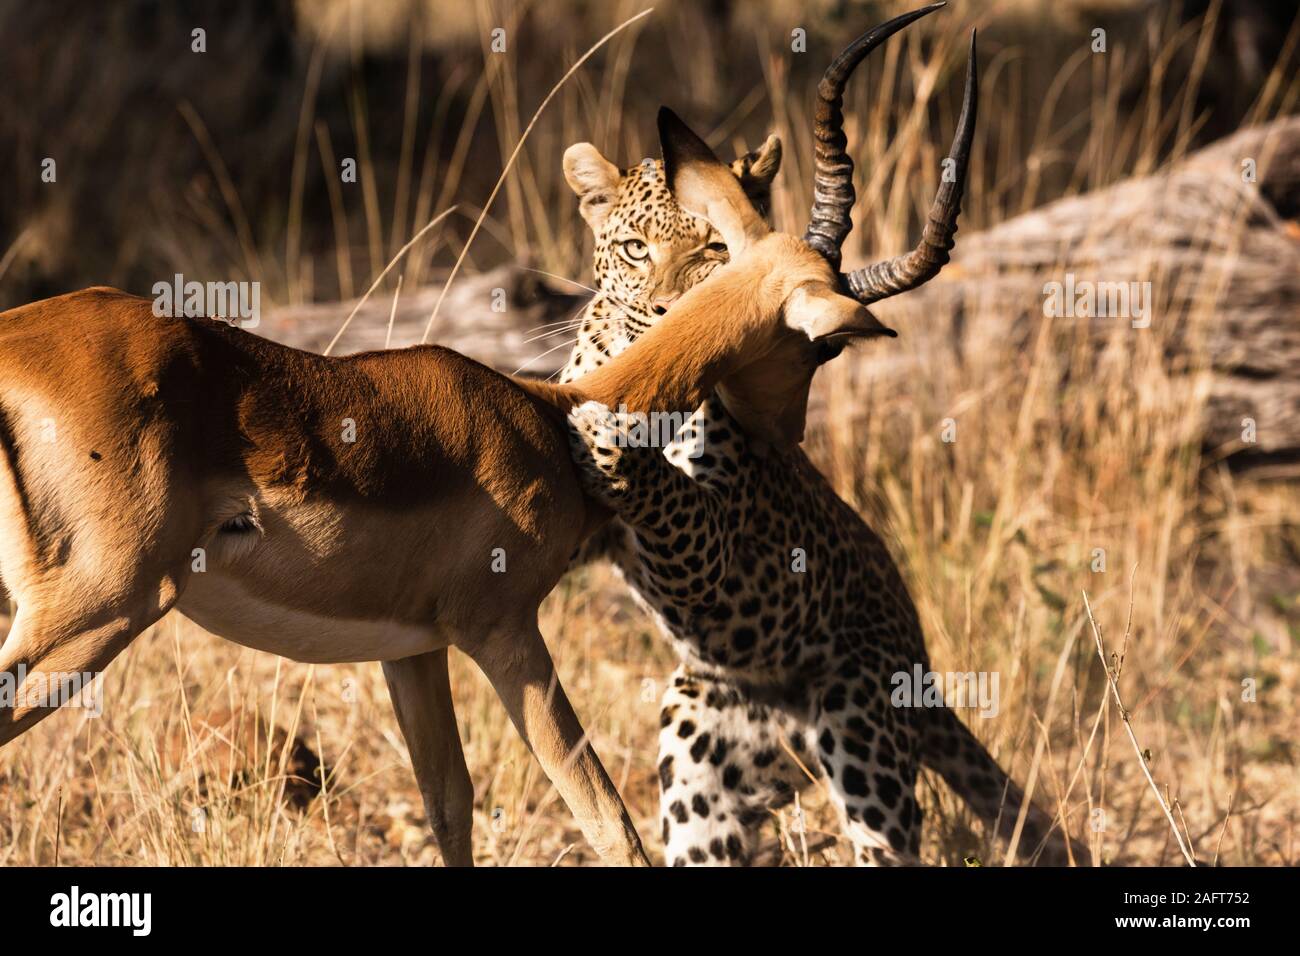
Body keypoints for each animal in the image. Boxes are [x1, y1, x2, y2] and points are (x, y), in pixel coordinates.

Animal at [0, 111, 886, 866]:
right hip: (97, 612)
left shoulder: (413, 650)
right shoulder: (503, 632)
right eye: (822, 344)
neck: (549, 413)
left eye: (709, 246)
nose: (786, 433)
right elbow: (606, 813)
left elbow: (449, 805)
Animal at [557, 135, 1085, 866]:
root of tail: (920, 661)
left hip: (865, 740)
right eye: (636, 249)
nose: (662, 316)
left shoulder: (713, 545)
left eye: (715, 248)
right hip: (701, 768)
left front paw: (608, 428)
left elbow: (664, 485)